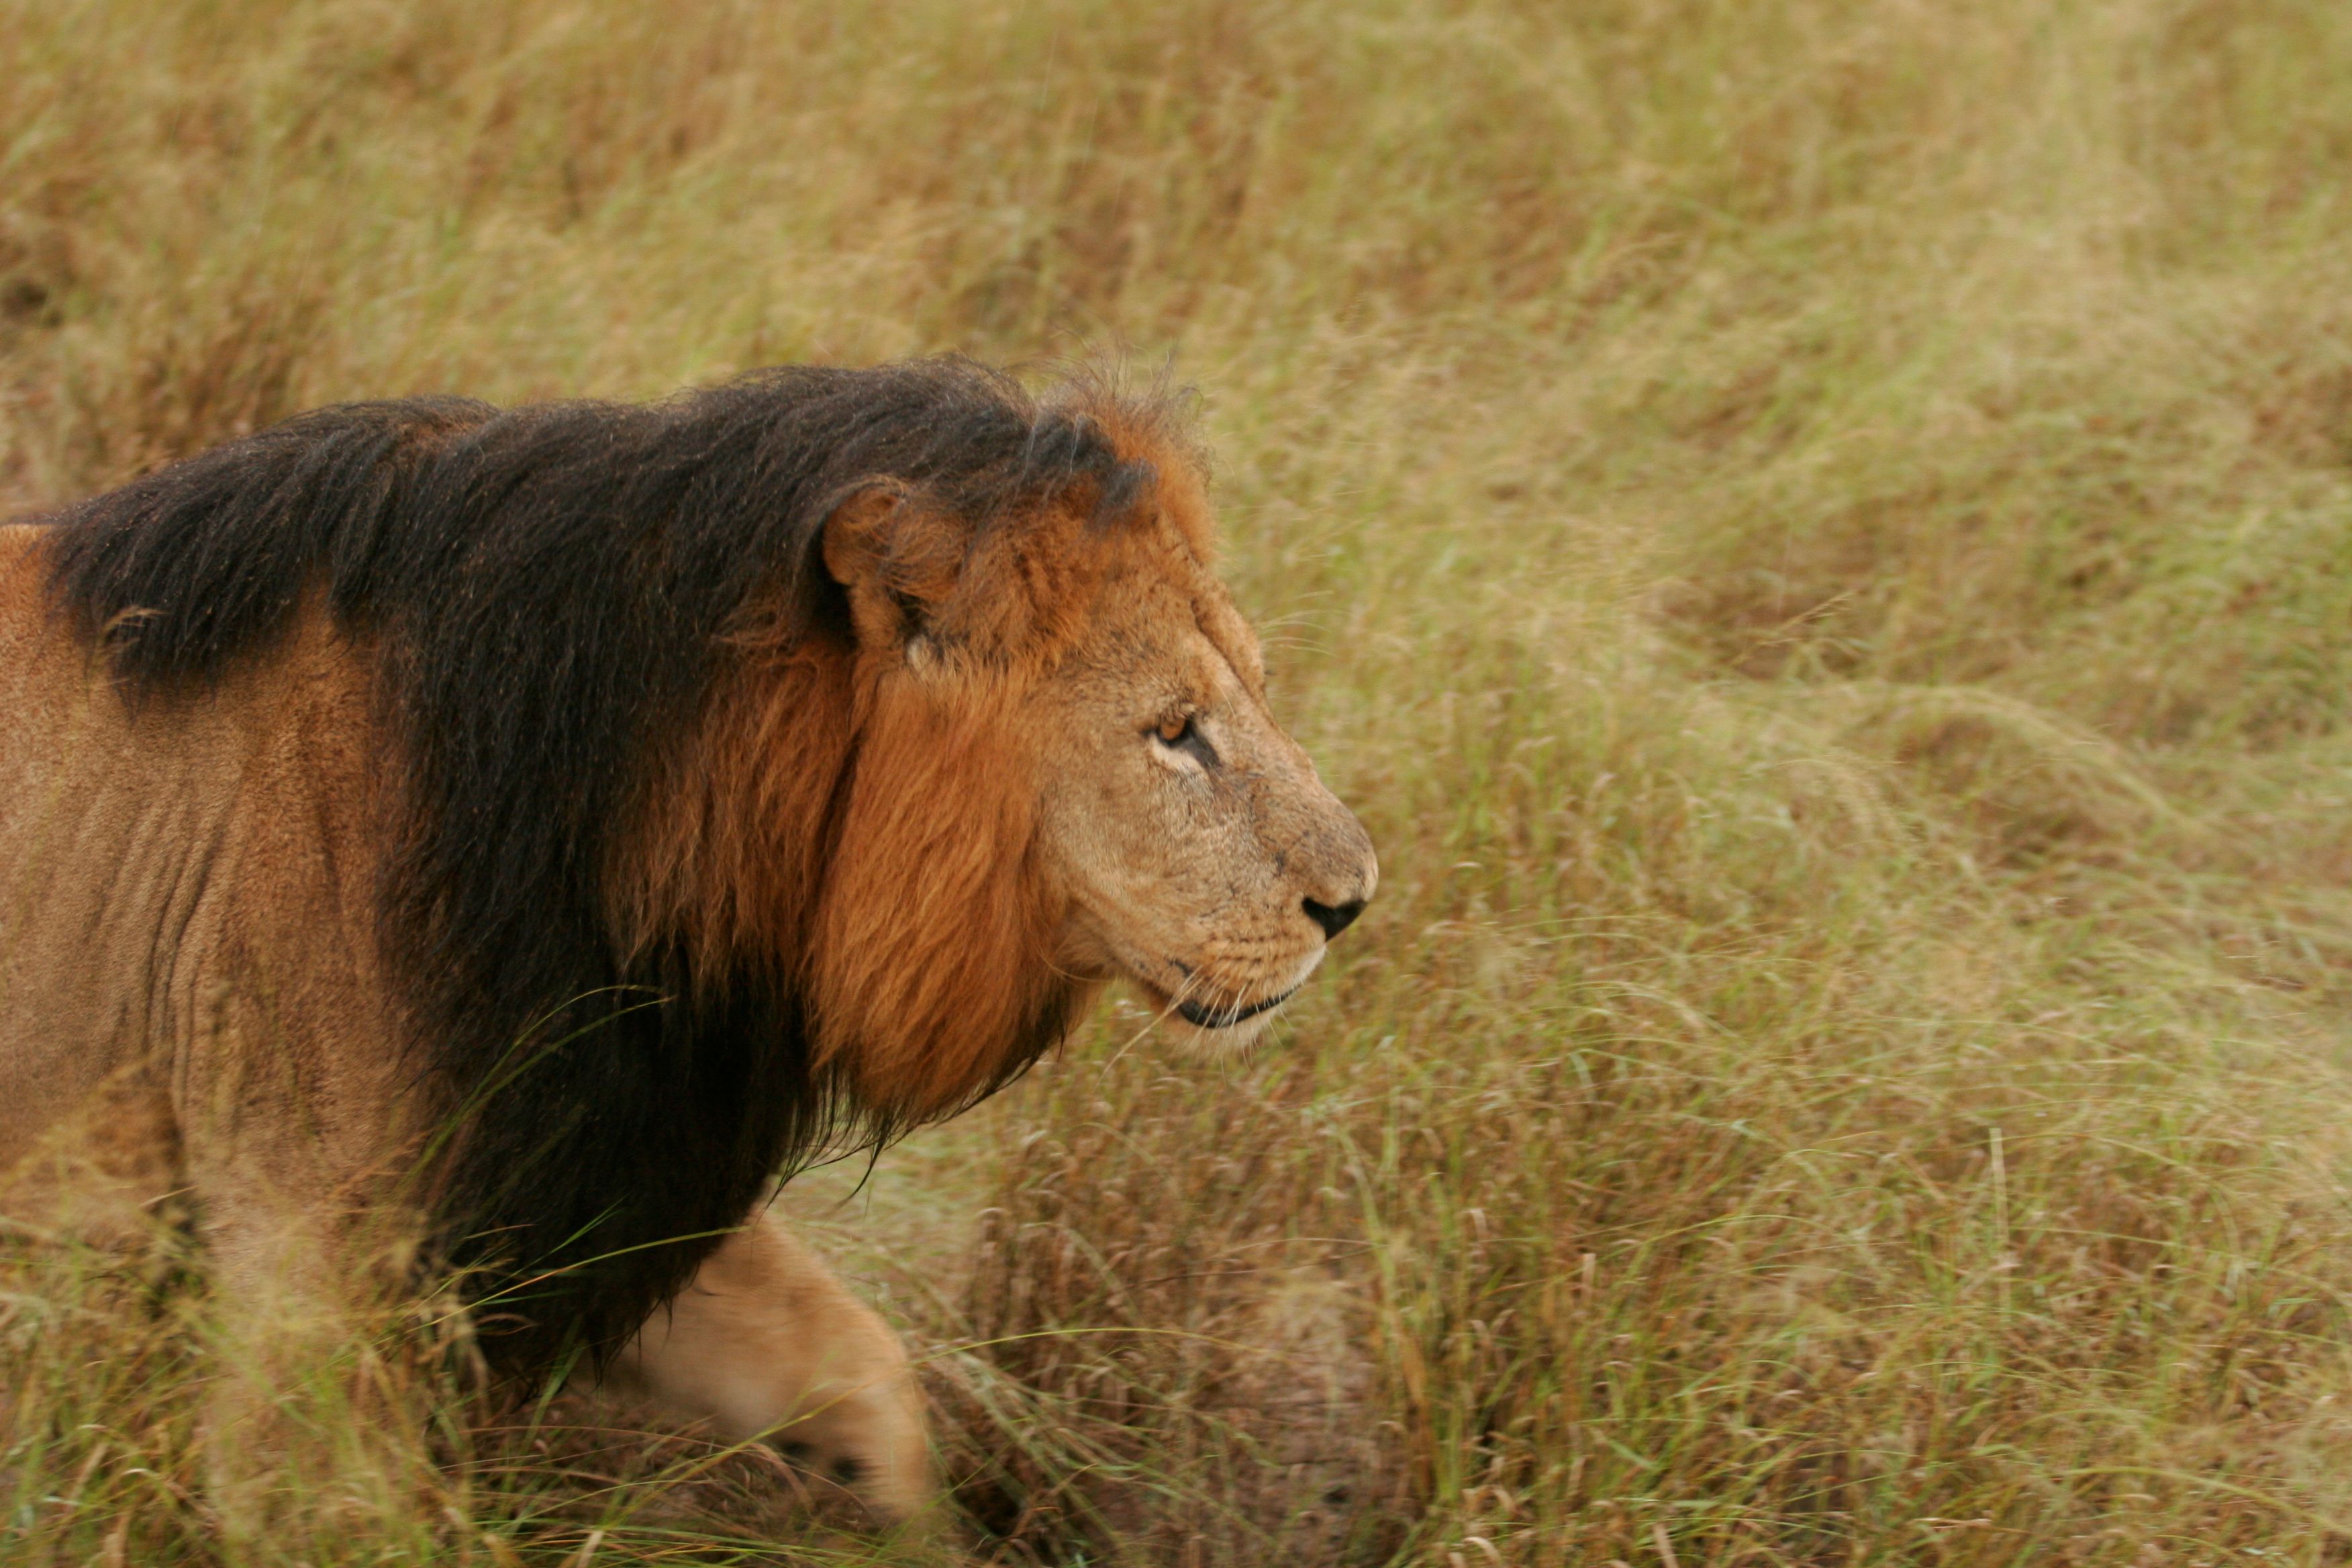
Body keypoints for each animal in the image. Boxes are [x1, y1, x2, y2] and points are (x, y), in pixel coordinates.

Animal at [0, 361, 1377, 1527]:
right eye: (1175, 731)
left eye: (1253, 689)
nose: (1354, 899)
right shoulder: (313, 1287)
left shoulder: (605, 1168)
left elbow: (858, 1369)